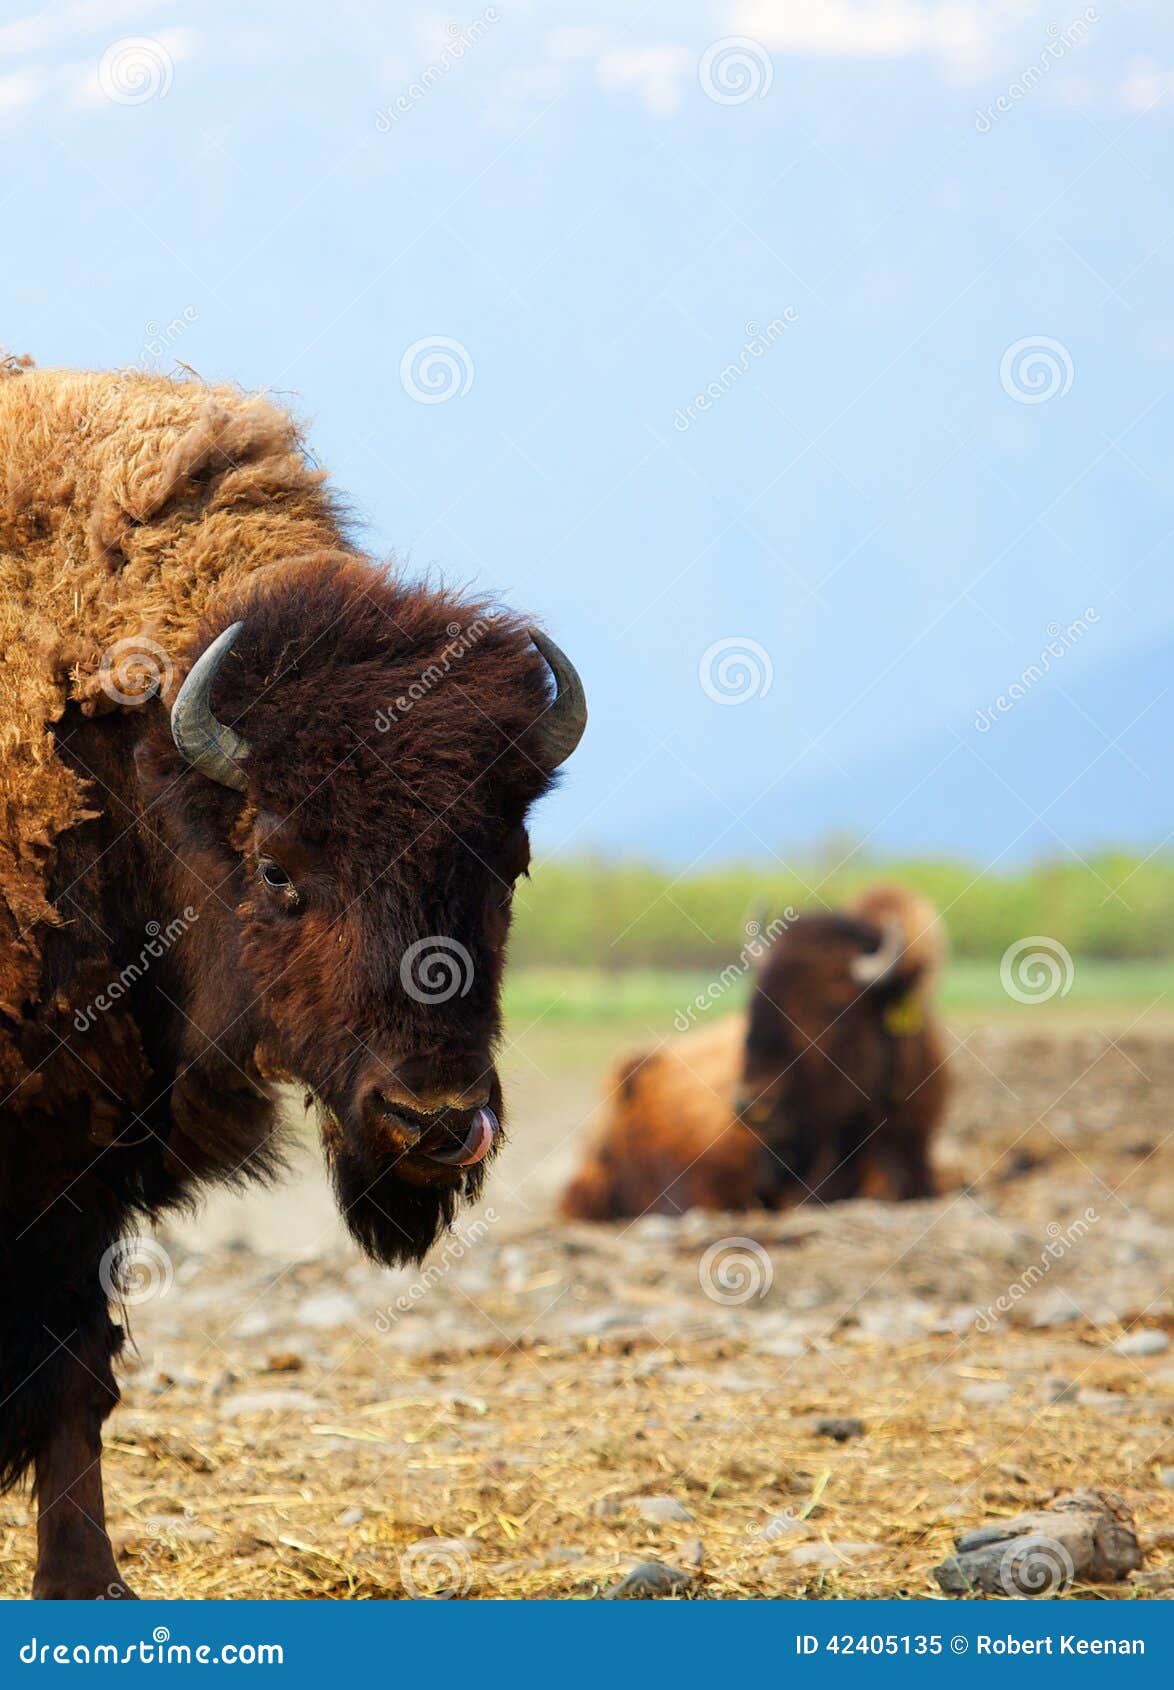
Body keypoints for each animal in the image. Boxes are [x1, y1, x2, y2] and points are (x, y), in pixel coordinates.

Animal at [0, 358, 586, 1598]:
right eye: (277, 864)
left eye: (508, 859)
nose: (431, 1115)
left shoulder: (85, 1165)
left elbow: (76, 1371)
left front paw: (90, 1581)